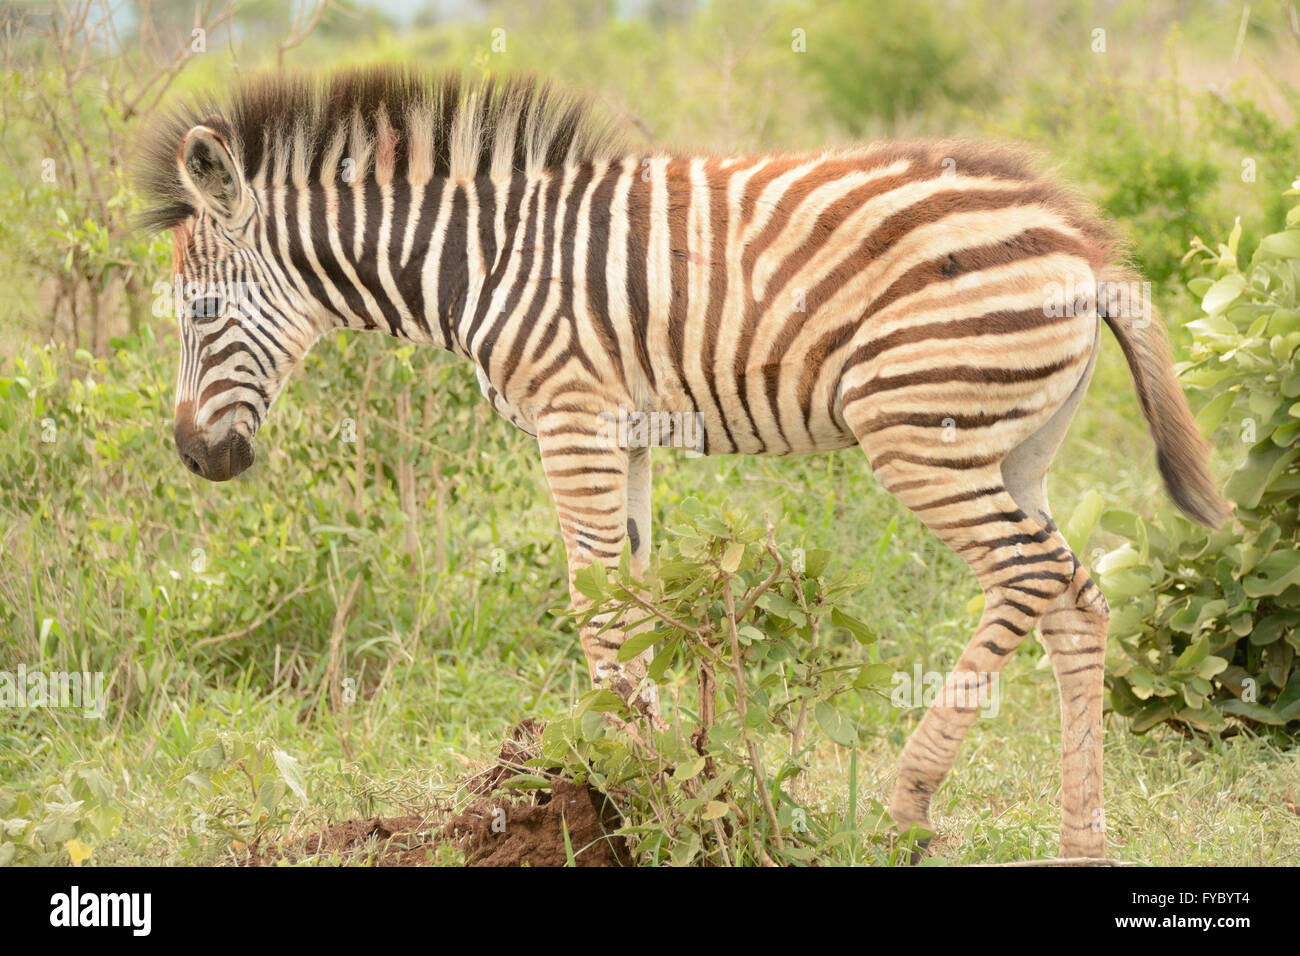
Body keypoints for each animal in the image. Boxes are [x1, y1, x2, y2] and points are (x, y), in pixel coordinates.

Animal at [137, 67, 1229, 860]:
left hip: (923, 428)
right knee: (1074, 600)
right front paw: (658, 781)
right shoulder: (622, 433)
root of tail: (1081, 242)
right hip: (1017, 443)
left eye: (200, 313)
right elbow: (637, 597)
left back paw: (906, 803)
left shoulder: (571, 415)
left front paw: (611, 788)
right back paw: (1081, 838)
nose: (196, 455)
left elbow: (593, 603)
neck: (481, 264)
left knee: (1029, 574)